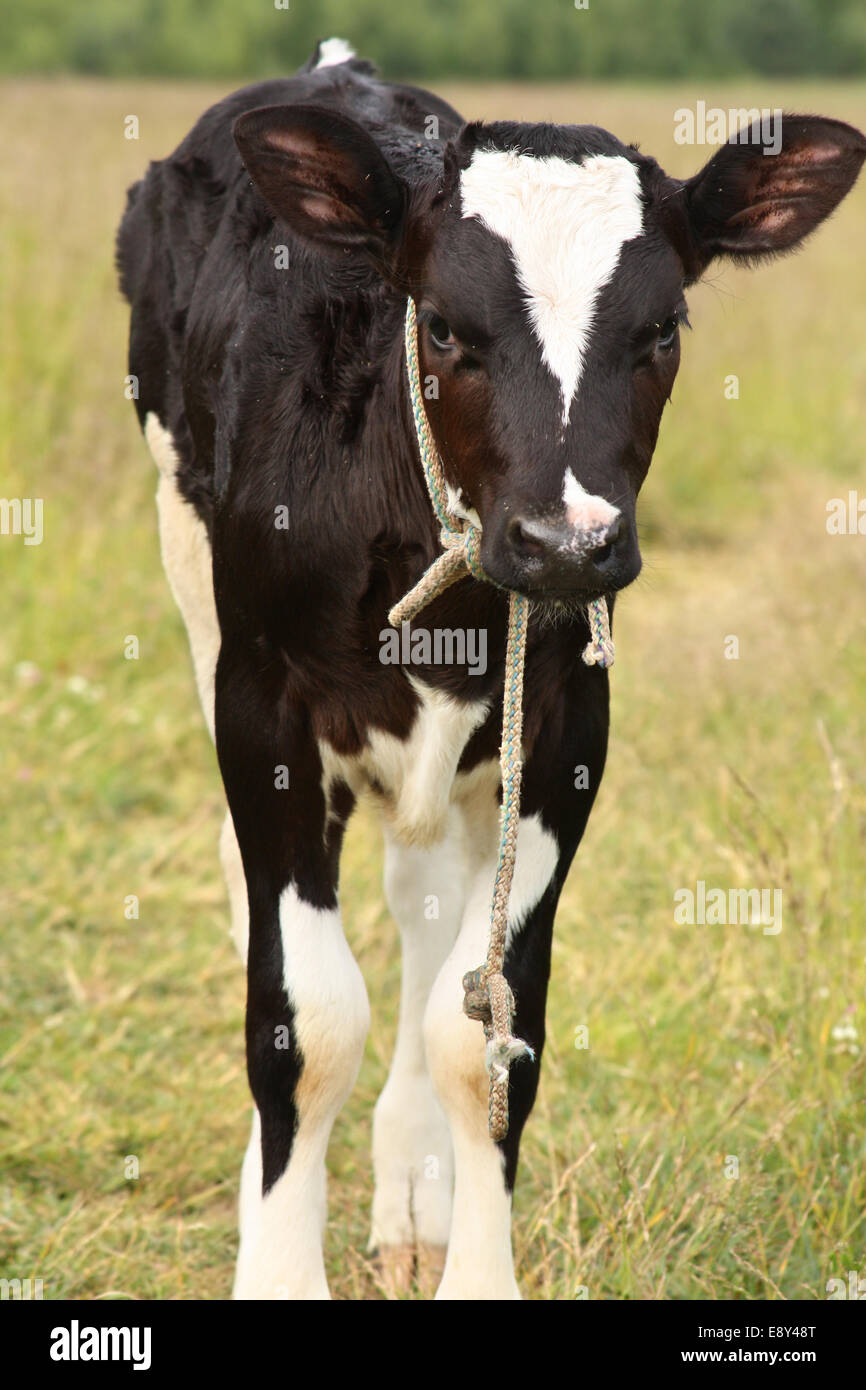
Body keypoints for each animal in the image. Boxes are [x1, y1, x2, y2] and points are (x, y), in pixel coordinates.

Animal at [116, 37, 865, 1299]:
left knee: (423, 907)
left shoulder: (566, 724)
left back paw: (413, 1194)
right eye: (444, 330)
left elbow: (482, 1032)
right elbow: (302, 1019)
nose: (564, 541)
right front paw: (276, 1253)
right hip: (193, 594)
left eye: (661, 332)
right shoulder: (263, 702)